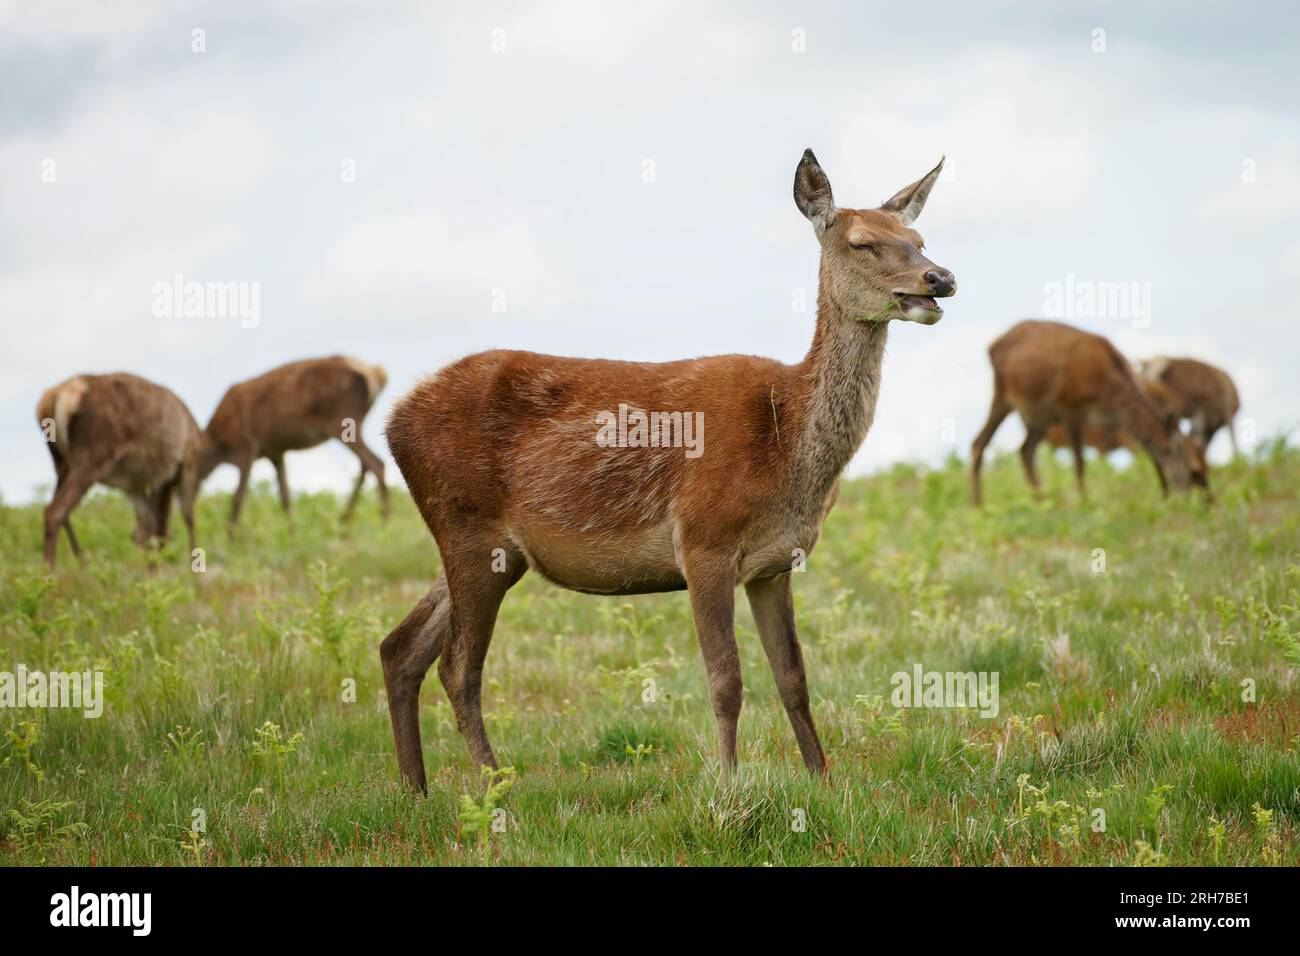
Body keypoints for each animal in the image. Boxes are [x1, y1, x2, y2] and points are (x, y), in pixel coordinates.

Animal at [36, 372, 202, 568]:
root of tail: (52, 400)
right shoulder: (183, 466)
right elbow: (186, 518)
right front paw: (193, 572)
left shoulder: (134, 485)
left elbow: (148, 528)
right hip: (92, 458)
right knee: (55, 510)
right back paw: (50, 570)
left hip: (61, 463)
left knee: (58, 510)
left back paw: (82, 563)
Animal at [199, 355, 389, 528]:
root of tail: (377, 374)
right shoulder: (275, 452)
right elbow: (285, 497)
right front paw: (292, 532)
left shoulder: (247, 448)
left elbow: (238, 498)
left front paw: (232, 537)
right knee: (366, 464)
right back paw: (345, 520)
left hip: (341, 421)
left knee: (376, 463)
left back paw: (383, 522)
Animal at [379, 148, 957, 791]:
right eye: (862, 243)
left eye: (919, 239)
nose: (940, 278)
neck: (787, 446)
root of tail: (392, 422)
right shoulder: (703, 540)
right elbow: (727, 681)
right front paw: (728, 784)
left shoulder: (775, 563)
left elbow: (794, 679)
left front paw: (822, 779)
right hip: (469, 528)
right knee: (457, 666)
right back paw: (496, 785)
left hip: (489, 547)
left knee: (400, 647)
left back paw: (415, 789)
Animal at [970, 320, 1207, 505]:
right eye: (1193, 470)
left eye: (1204, 469)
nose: (1193, 497)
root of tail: (991, 346)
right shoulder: (1069, 408)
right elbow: (1080, 463)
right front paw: (1084, 502)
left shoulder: (1118, 426)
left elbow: (1150, 453)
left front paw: (1164, 496)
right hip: (1003, 395)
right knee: (979, 443)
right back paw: (978, 505)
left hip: (1038, 417)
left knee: (1025, 450)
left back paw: (1043, 500)